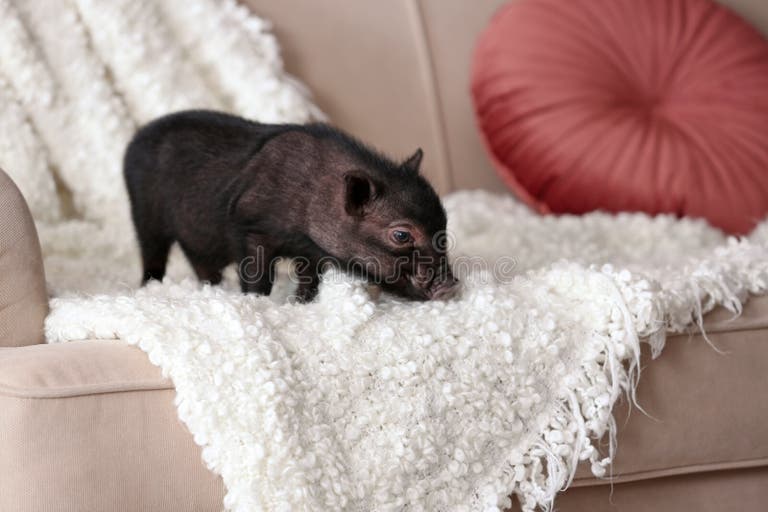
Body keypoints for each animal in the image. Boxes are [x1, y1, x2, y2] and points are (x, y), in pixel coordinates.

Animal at [123, 109, 458, 303]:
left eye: (443, 227)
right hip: (144, 212)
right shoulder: (249, 227)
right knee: (152, 253)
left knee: (200, 260)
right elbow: (259, 276)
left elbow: (310, 280)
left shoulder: (311, 253)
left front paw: (302, 303)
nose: (451, 285)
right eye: (401, 235)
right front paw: (257, 303)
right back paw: (149, 287)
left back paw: (213, 288)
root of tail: (136, 138)